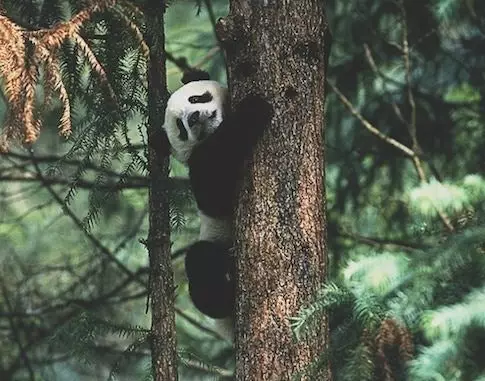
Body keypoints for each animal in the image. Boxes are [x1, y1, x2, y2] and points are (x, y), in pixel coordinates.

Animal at [162, 75, 268, 320]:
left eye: (195, 98)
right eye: (180, 127)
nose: (193, 118)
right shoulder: (198, 165)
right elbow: (216, 198)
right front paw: (253, 110)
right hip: (214, 242)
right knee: (201, 262)